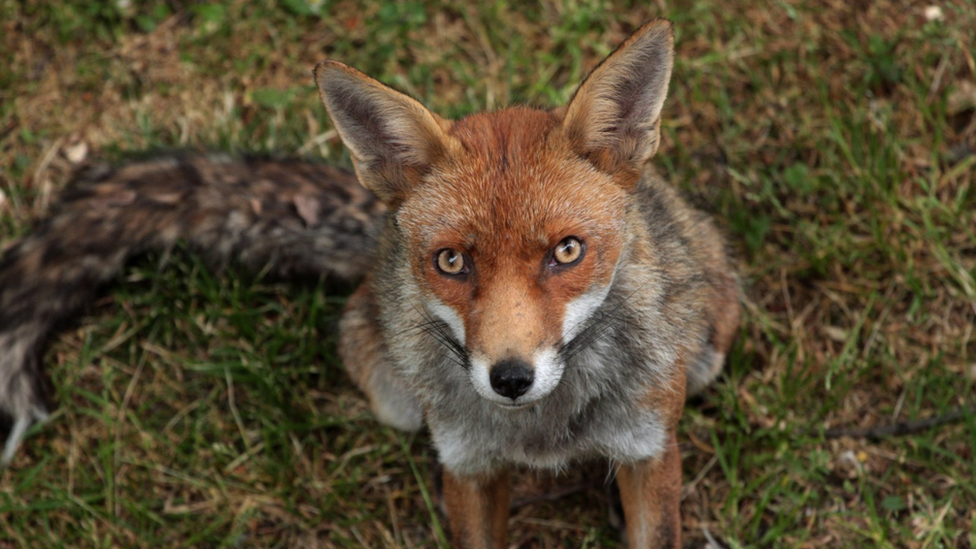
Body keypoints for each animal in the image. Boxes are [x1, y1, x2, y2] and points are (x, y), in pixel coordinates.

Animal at [0, 18, 740, 548]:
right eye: (451, 262)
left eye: (566, 251)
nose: (509, 378)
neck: (544, 433)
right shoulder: (469, 466)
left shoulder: (648, 448)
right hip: (398, 402)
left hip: (707, 354)